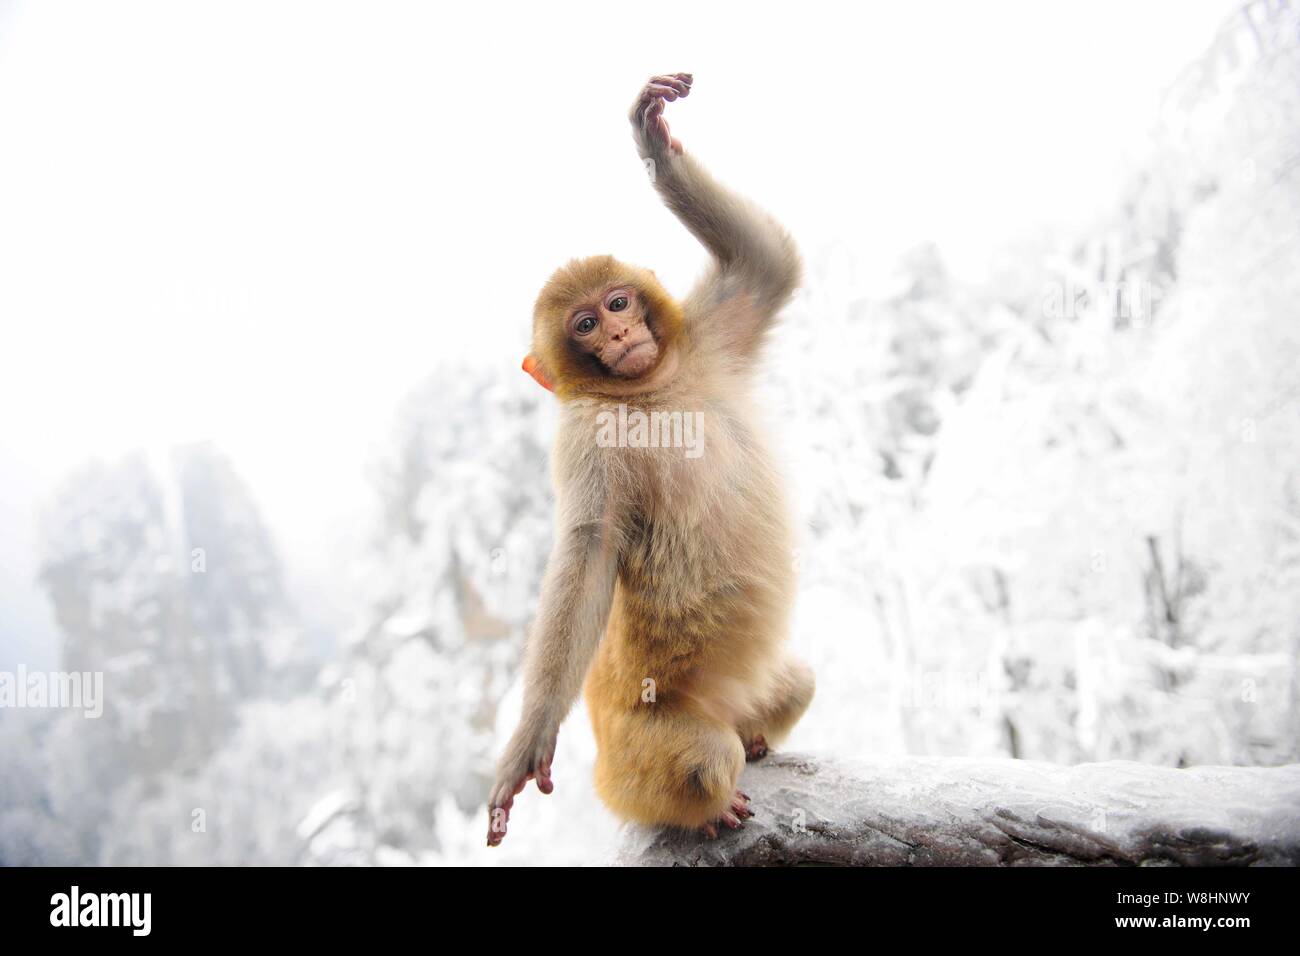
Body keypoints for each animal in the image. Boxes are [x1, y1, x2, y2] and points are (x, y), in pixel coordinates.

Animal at [487, 73, 813, 845]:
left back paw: (757, 735)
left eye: (617, 302)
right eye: (583, 325)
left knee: (793, 682)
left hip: (749, 692)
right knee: (702, 760)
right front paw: (529, 734)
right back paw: (711, 801)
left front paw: (653, 143)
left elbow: (766, 266)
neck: (649, 391)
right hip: (633, 759)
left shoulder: (706, 336)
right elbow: (589, 547)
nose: (617, 334)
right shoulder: (586, 440)